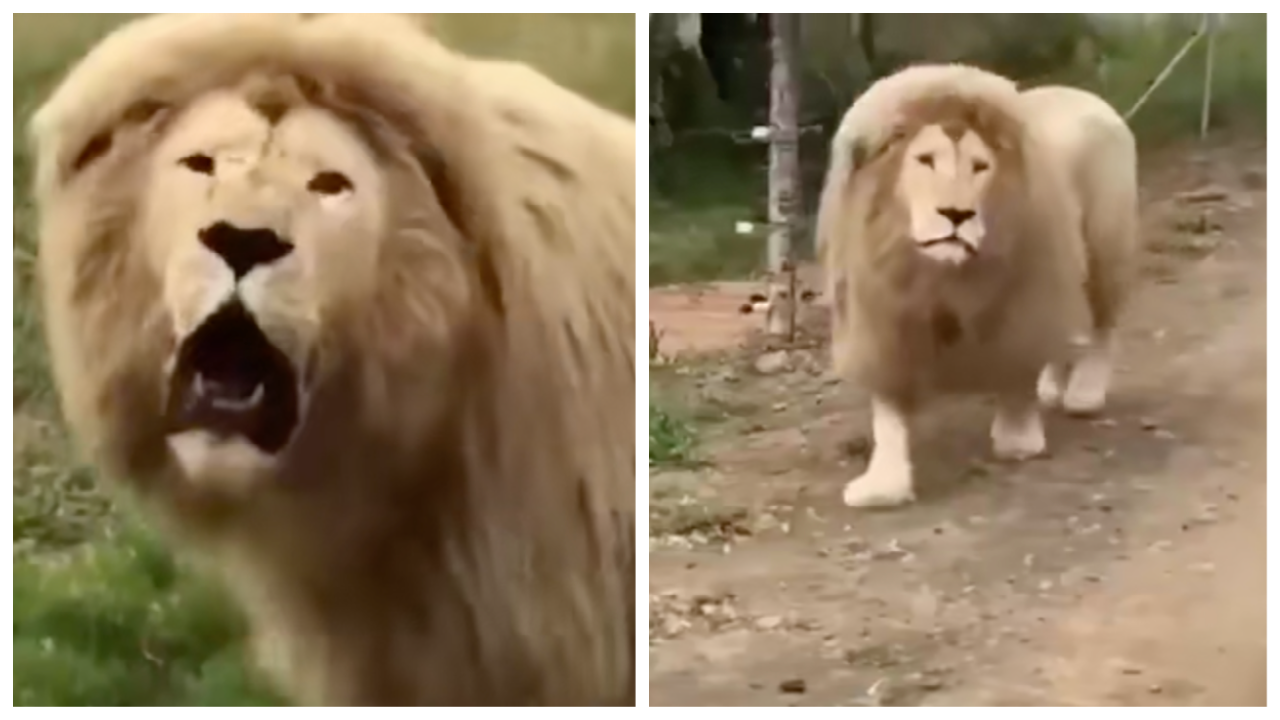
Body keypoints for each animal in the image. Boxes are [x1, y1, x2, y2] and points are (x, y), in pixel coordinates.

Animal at [816, 64, 1136, 508]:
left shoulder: (1024, 300)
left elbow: (1017, 377)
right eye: (925, 160)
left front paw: (1019, 439)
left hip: (1105, 247)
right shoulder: (885, 319)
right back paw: (1053, 389)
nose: (956, 214)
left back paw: (1083, 396)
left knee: (1103, 327)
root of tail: (1086, 96)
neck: (935, 275)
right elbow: (888, 413)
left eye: (980, 166)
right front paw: (882, 485)